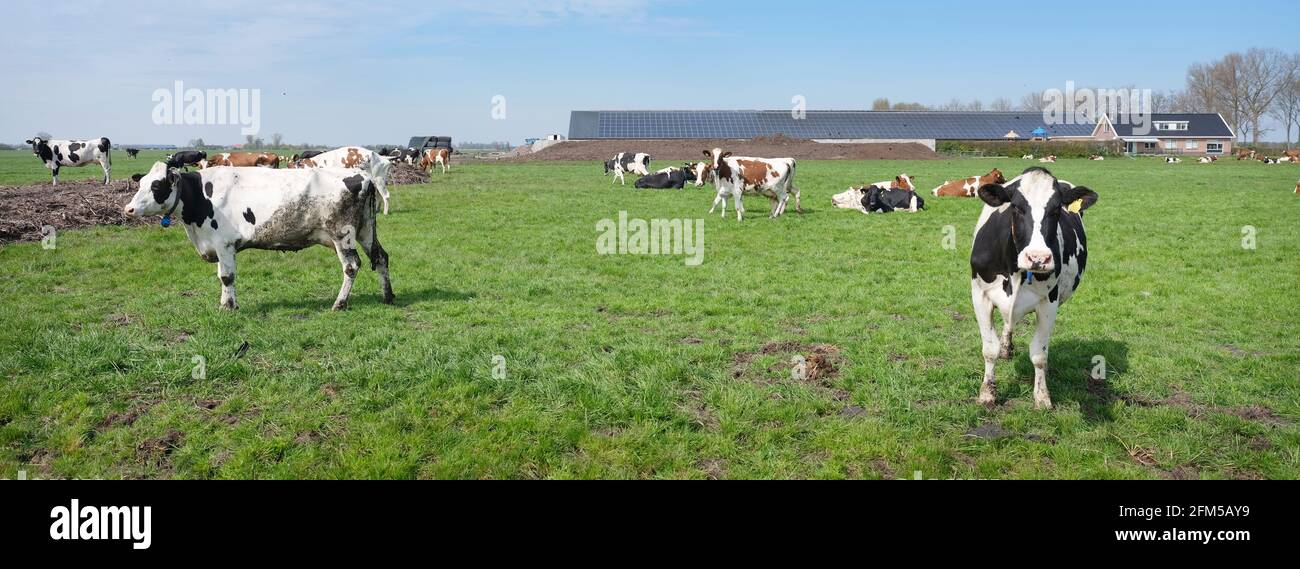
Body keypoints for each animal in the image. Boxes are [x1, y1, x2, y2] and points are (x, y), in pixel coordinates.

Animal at [123, 161, 393, 311]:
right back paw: (388, 296)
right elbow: (222, 276)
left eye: (156, 186)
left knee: (351, 266)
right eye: (141, 183)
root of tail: (363, 175)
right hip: (365, 229)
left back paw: (339, 303)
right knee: (381, 257)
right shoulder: (218, 245)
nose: (129, 209)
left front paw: (229, 307)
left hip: (342, 234)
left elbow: (226, 276)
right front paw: (224, 304)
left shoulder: (224, 242)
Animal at [969, 167, 1098, 409]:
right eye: (1016, 207)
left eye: (1056, 210)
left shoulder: (1049, 303)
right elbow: (989, 350)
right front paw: (987, 393)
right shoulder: (980, 295)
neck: (1016, 271)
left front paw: (1042, 396)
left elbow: (1039, 354)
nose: (1038, 258)